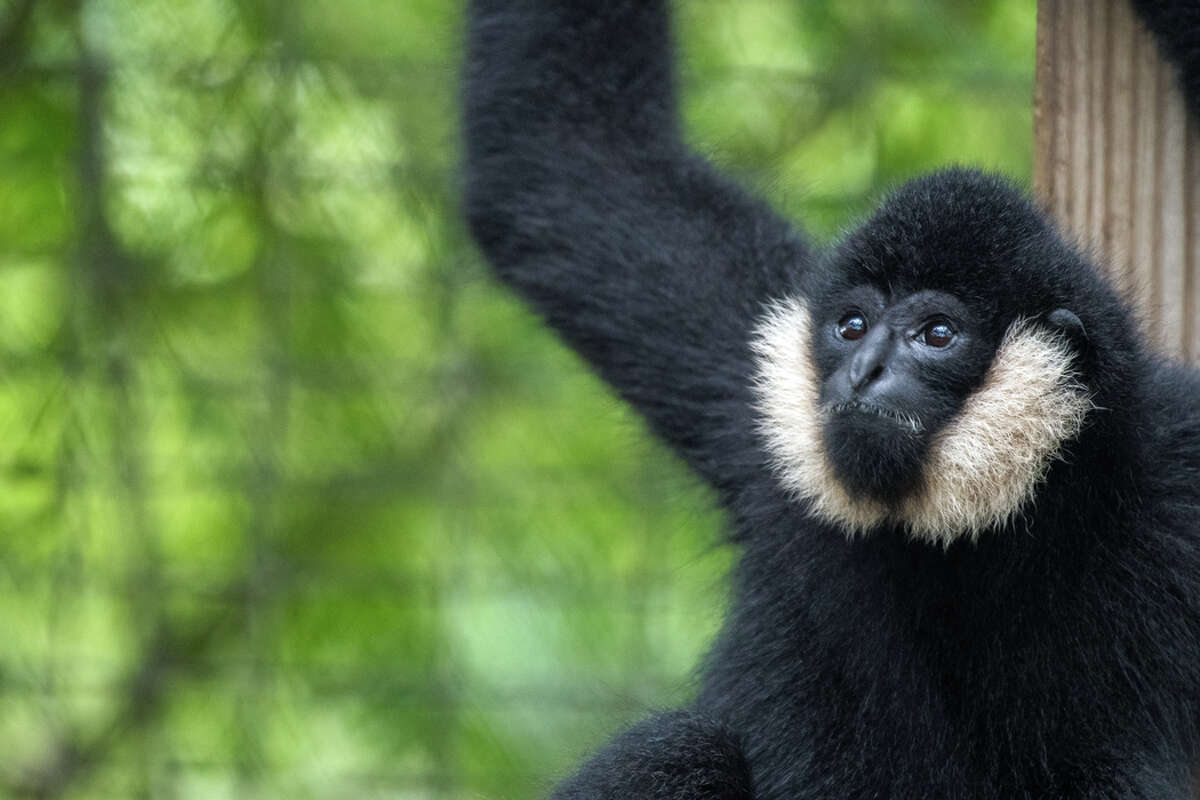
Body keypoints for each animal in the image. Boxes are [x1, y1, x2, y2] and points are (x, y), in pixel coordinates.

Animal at [463, 1, 1200, 797]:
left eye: (936, 333)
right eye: (851, 326)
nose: (863, 370)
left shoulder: (1178, 474)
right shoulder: (753, 414)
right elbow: (567, 158)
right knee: (680, 745)